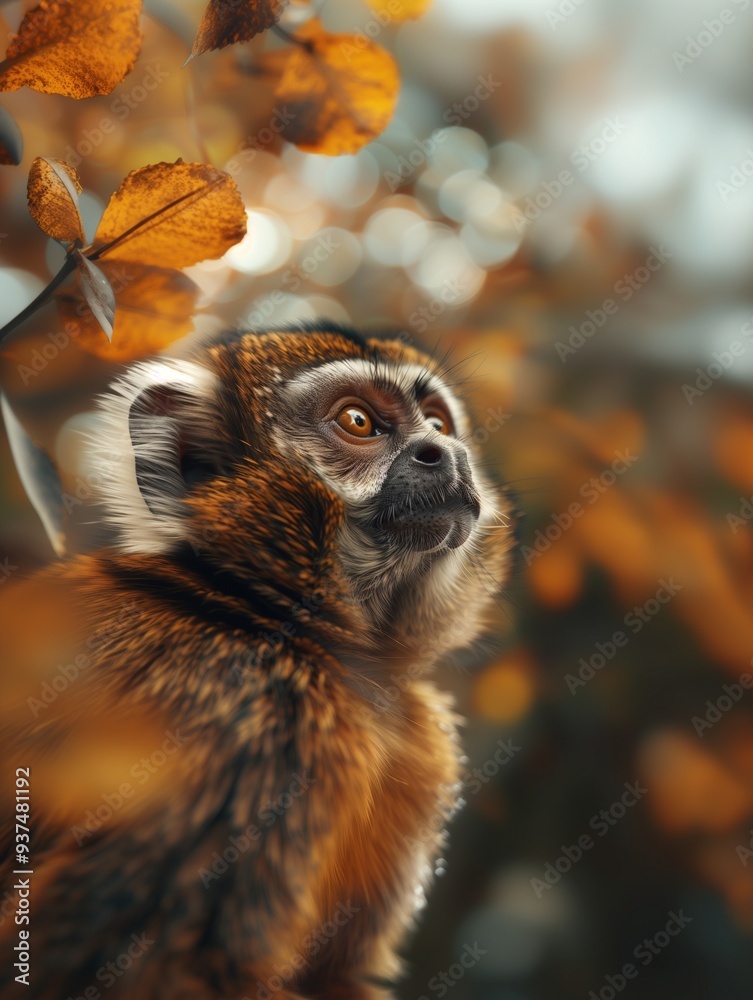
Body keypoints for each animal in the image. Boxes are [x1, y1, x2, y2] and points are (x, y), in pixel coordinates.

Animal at [0, 323, 515, 1000]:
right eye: (359, 422)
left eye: (436, 422)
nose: (442, 451)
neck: (272, 617)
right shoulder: (249, 712)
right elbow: (118, 959)